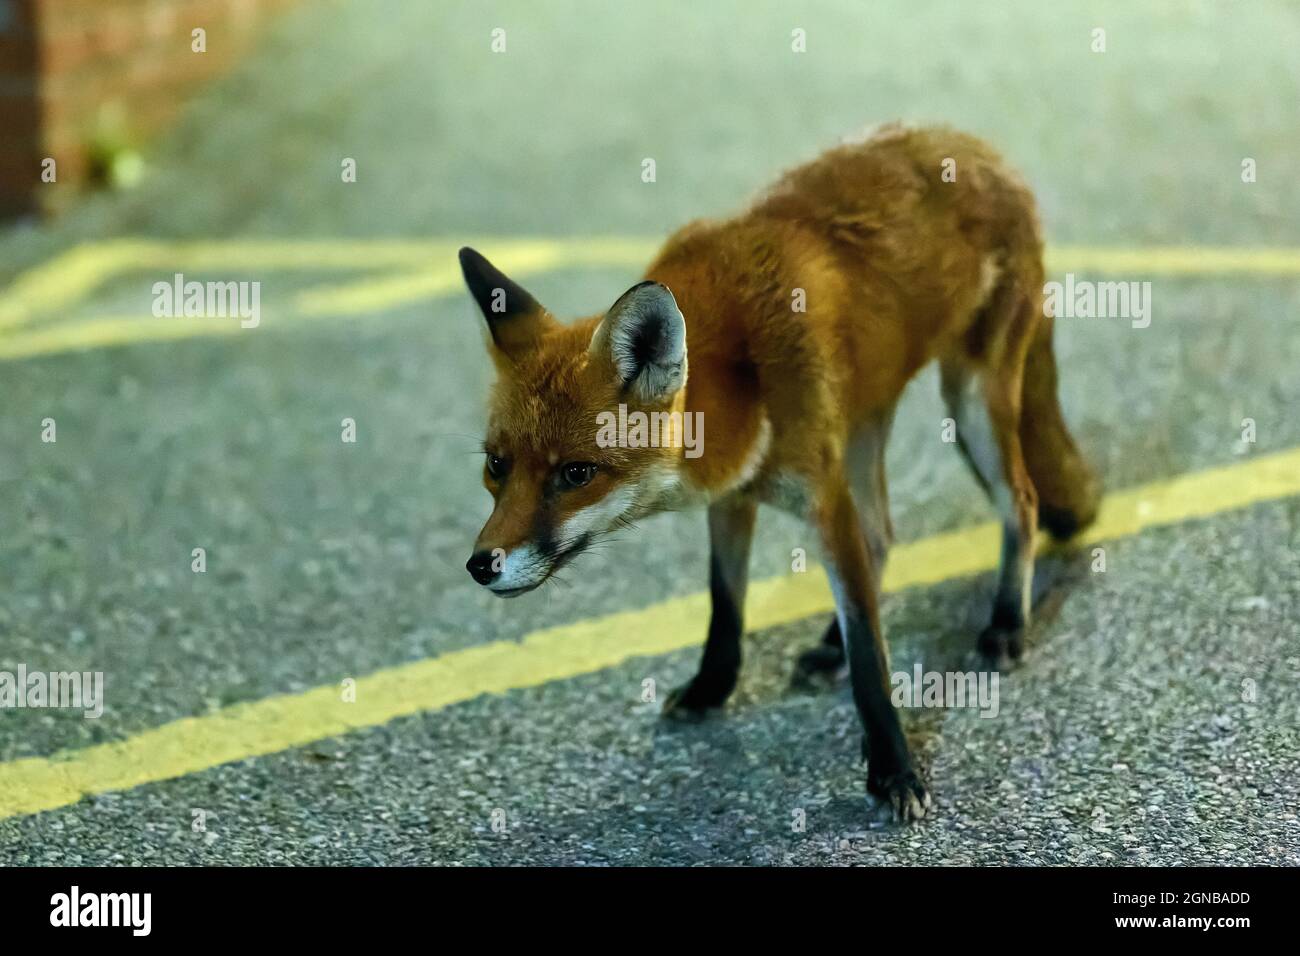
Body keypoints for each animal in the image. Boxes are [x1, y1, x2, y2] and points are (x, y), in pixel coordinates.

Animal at [459, 123, 1100, 821]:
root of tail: (977, 145)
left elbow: (872, 658)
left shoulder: (822, 498)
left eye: (577, 473)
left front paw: (894, 769)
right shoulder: (731, 494)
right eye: (496, 465)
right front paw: (712, 688)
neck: (740, 379)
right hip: (865, 418)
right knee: (883, 534)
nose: (482, 565)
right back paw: (830, 646)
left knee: (1021, 502)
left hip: (971, 400)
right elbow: (725, 603)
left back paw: (1007, 622)